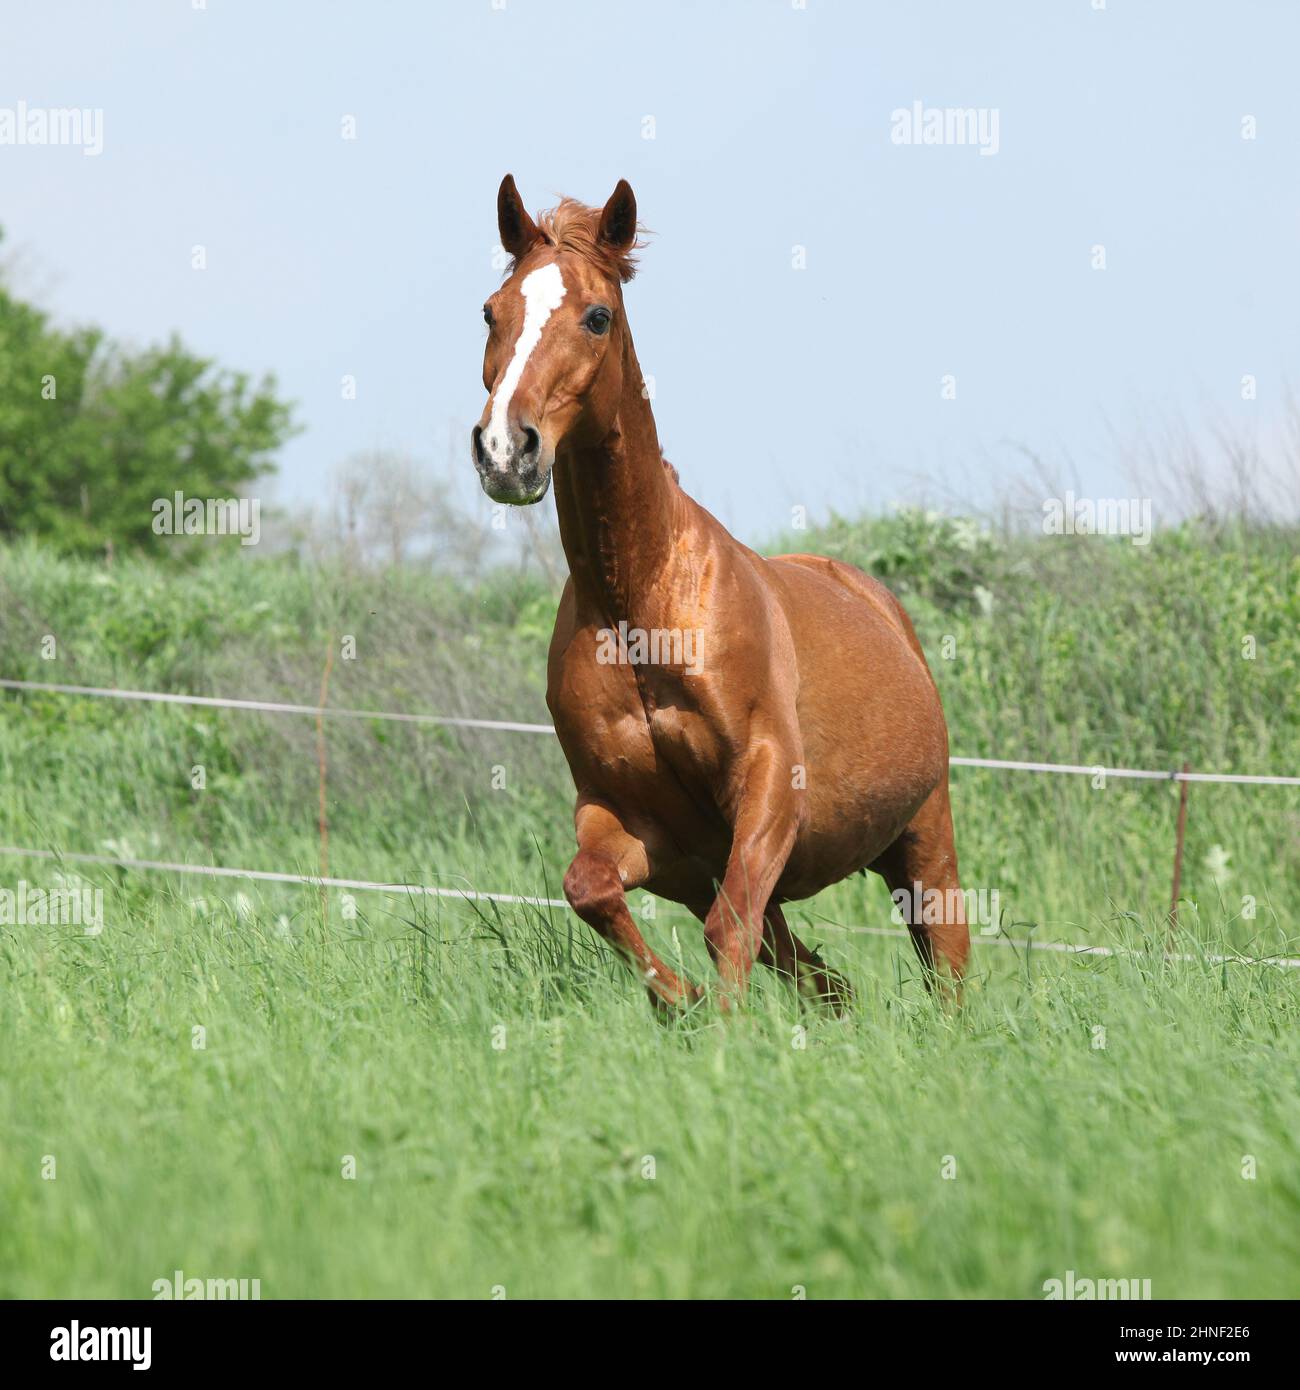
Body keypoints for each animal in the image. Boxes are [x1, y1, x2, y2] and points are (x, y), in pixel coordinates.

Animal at [472, 174, 970, 1013]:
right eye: (492, 311)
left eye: (597, 316)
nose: (507, 450)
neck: (641, 606)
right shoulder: (643, 827)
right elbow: (591, 889)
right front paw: (684, 1006)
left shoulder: (768, 791)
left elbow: (725, 931)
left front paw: (720, 1029)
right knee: (818, 974)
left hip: (924, 845)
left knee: (946, 971)